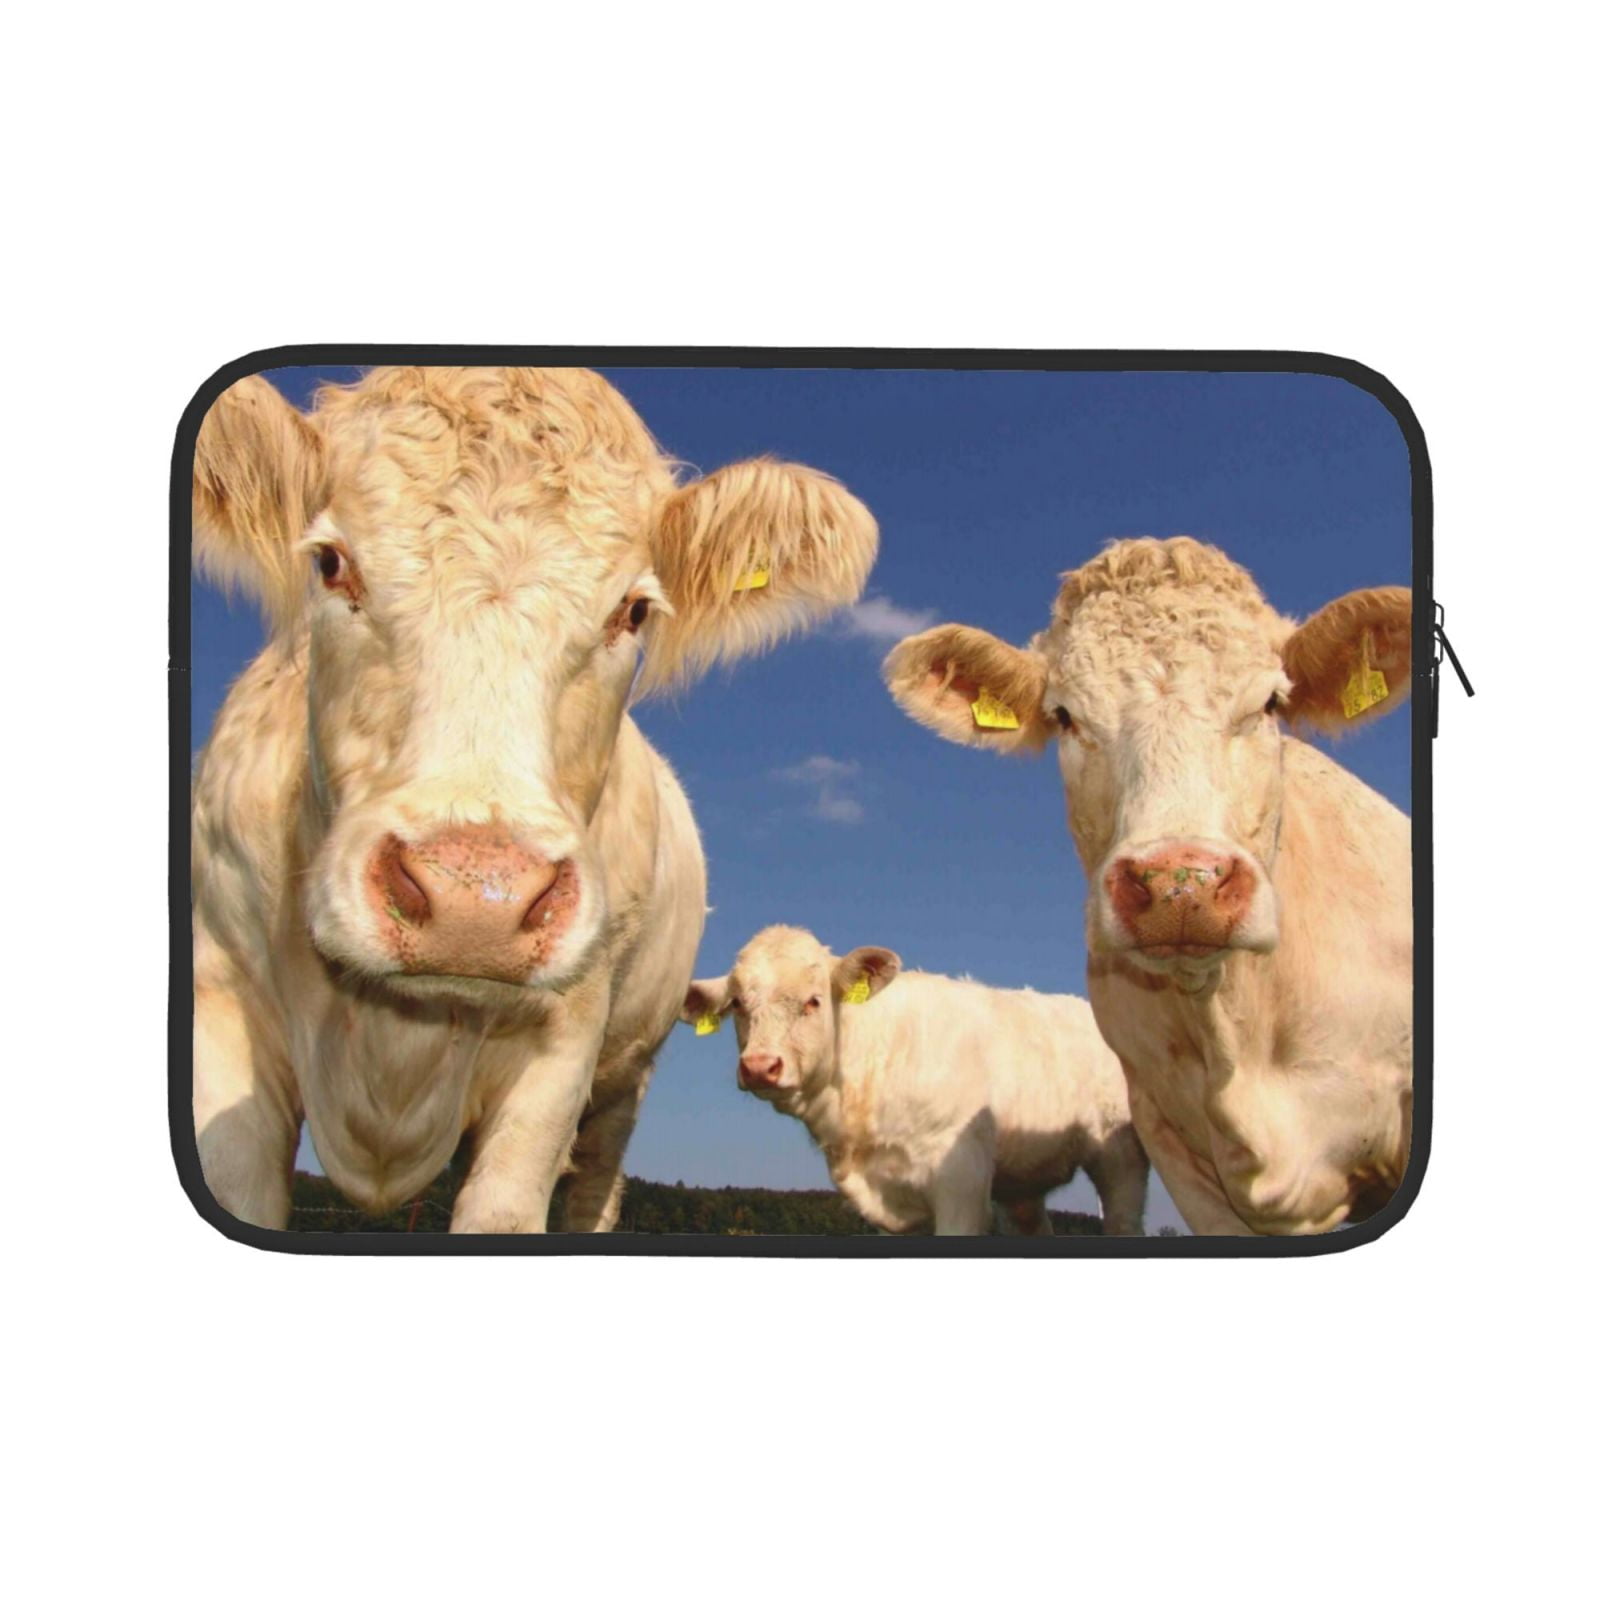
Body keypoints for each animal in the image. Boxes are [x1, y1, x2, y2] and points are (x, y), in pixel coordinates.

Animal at [190, 367, 878, 1233]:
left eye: (634, 610)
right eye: (331, 563)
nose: (473, 902)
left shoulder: (563, 1053)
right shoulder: (222, 1006)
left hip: (622, 1084)